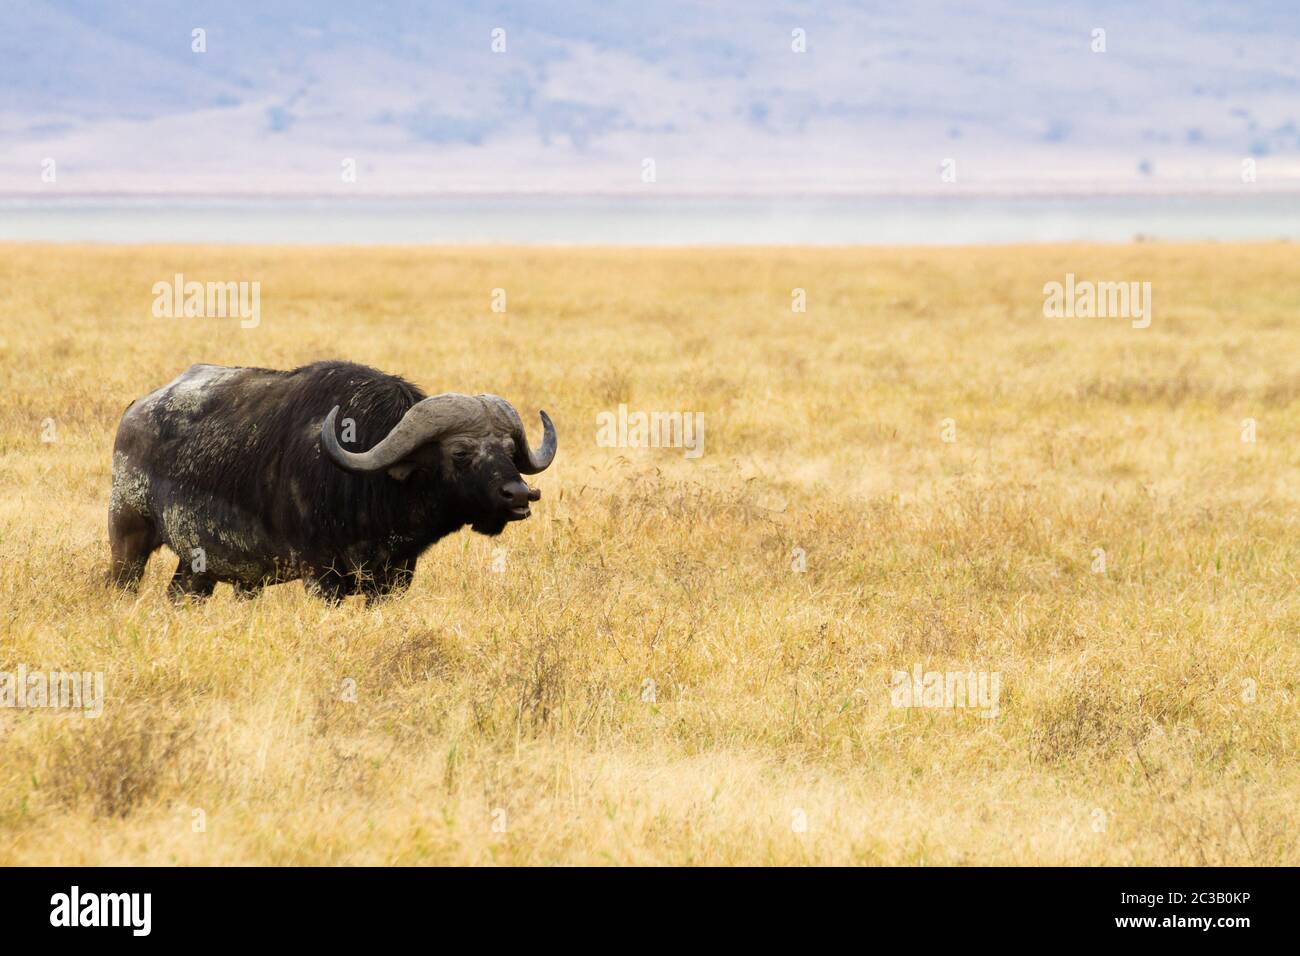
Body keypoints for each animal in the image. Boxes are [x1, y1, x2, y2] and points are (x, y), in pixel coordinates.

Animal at [108, 361, 556, 601]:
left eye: (508, 449)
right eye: (461, 452)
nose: (519, 494)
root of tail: (134, 411)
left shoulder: (393, 580)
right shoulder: (323, 578)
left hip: (196, 565)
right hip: (127, 537)